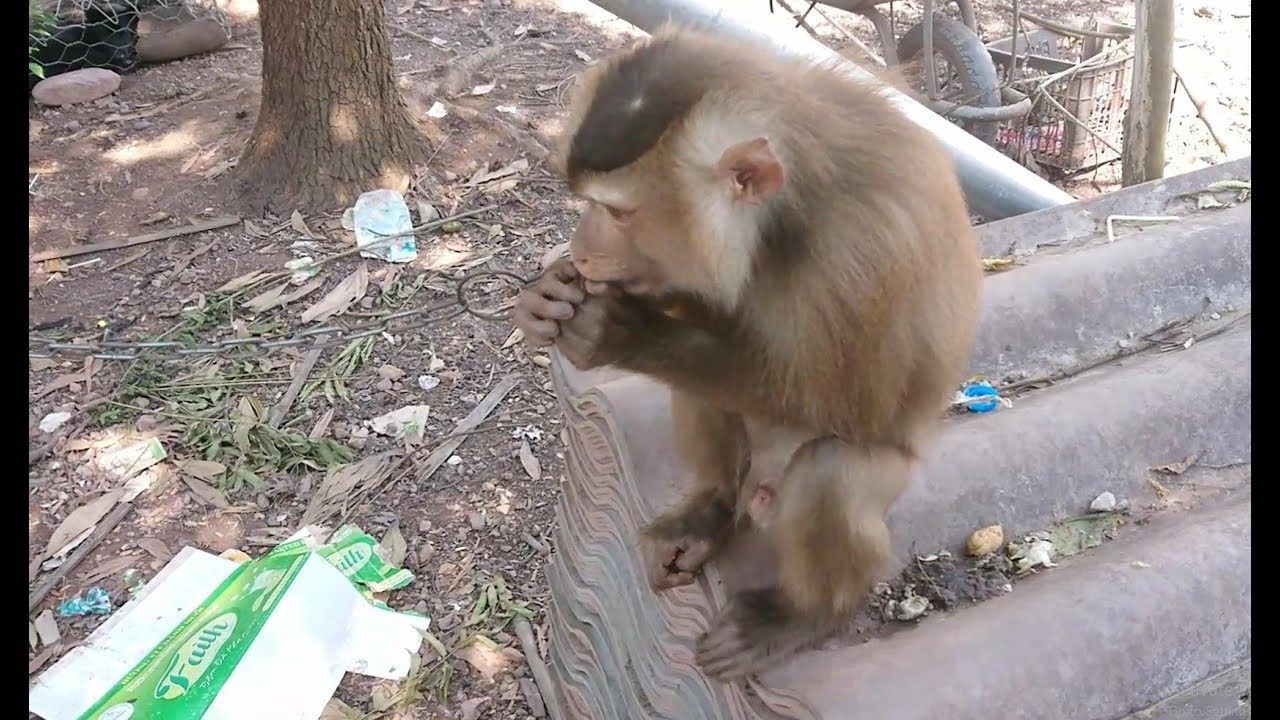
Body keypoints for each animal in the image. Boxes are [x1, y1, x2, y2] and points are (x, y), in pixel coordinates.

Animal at [514, 24, 982, 680]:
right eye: (586, 201)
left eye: (619, 212)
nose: (580, 250)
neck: (790, 213)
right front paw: (546, 297)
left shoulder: (870, 249)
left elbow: (854, 400)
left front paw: (617, 331)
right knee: (703, 393)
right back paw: (708, 512)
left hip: (880, 479)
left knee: (831, 471)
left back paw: (804, 614)